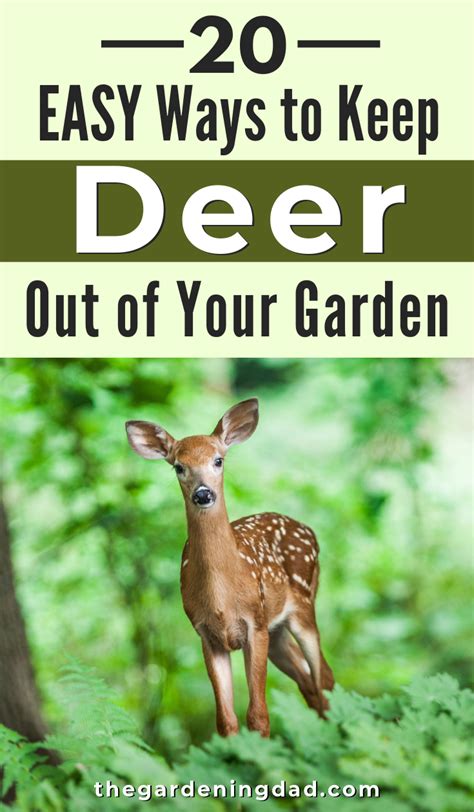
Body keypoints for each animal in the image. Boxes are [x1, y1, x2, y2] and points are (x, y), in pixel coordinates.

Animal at [125, 398, 334, 738]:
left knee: (324, 677)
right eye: (178, 466)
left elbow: (258, 715)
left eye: (218, 460)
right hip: (277, 631)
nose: (203, 493)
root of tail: (309, 530)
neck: (222, 598)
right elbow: (226, 720)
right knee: (308, 682)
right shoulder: (206, 635)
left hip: (302, 605)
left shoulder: (254, 624)